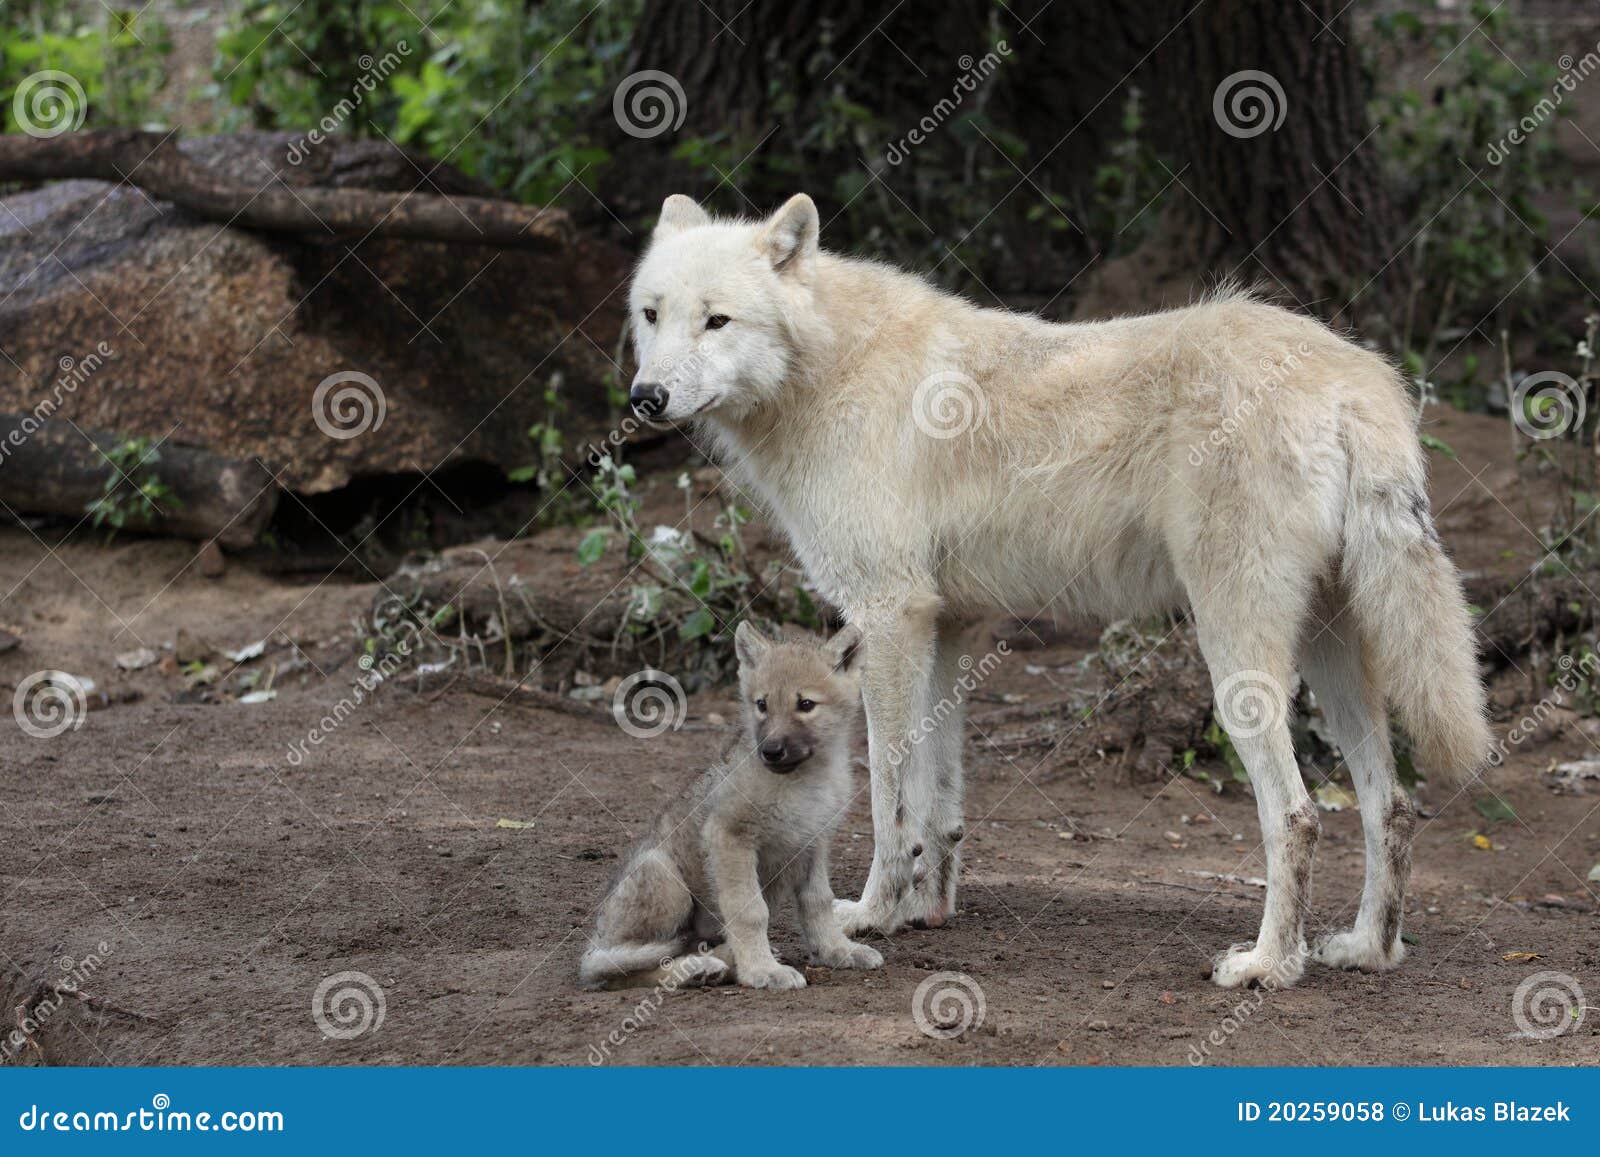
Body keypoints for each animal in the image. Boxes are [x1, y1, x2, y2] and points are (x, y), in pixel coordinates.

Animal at [579, 622, 883, 990]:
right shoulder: (729, 837)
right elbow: (750, 912)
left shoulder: (813, 844)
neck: (808, 779)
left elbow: (818, 903)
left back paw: (720, 960)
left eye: (806, 704)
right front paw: (761, 970)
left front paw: (837, 951)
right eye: (762, 704)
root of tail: (595, 940)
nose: (771, 751)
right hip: (664, 876)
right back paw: (699, 968)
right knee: (616, 968)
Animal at [622, 192, 1492, 989]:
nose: (645, 397)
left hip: (1238, 660)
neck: (830, 366)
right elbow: (939, 806)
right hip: (1330, 653)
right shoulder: (945, 628)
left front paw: (870, 913)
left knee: (1298, 814)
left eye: (718, 321)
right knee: (1391, 804)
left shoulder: (889, 619)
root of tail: (1356, 378)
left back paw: (1268, 966)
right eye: (652, 314)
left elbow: (890, 801)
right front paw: (927, 910)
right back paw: (1367, 949)